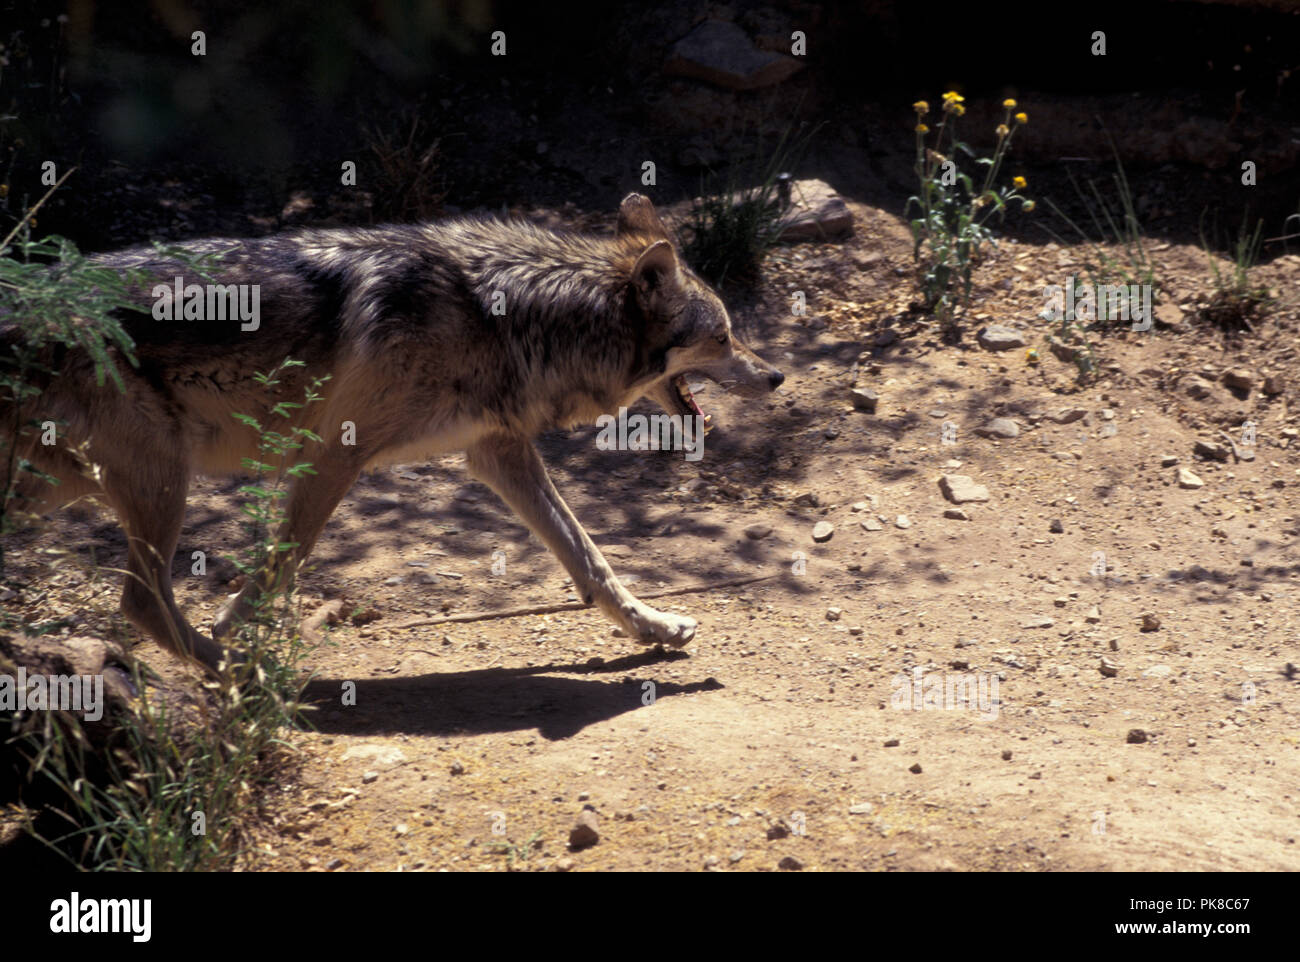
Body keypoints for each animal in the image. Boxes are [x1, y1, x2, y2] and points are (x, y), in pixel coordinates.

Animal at [6, 194, 784, 673]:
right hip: (160, 480)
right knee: (140, 601)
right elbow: (280, 564)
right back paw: (231, 670)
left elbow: (590, 559)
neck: (511, 313)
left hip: (74, 485)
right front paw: (232, 628)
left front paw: (654, 628)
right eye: (723, 337)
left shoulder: (495, 451)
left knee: (138, 597)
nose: (776, 377)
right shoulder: (335, 454)